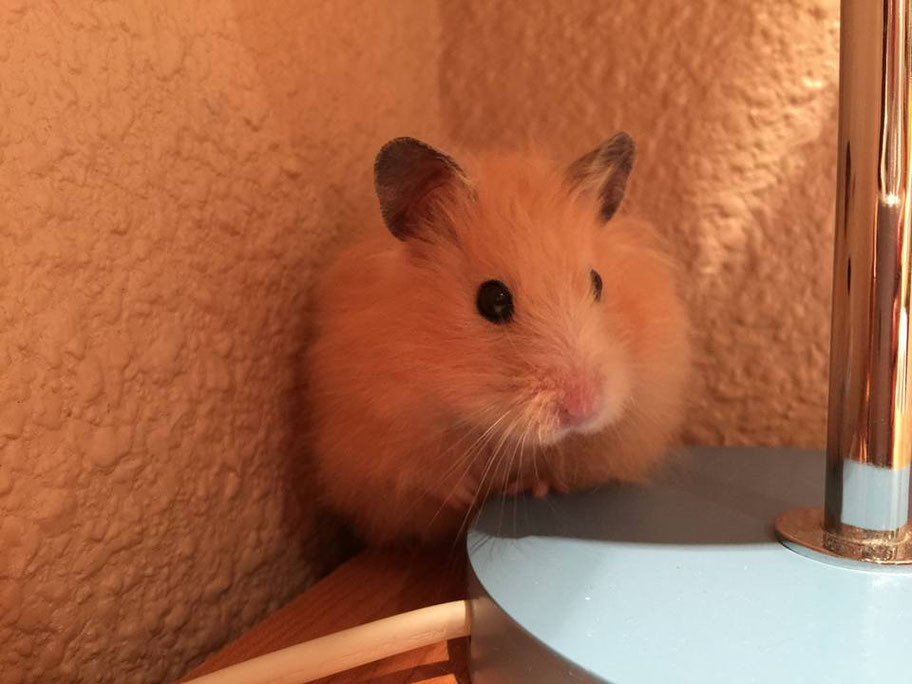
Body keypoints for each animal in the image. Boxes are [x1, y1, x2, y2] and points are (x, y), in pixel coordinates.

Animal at [307, 133, 690, 545]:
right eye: (492, 299)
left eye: (597, 282)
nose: (583, 409)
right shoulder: (374, 431)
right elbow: (423, 472)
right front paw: (469, 492)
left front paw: (531, 485)